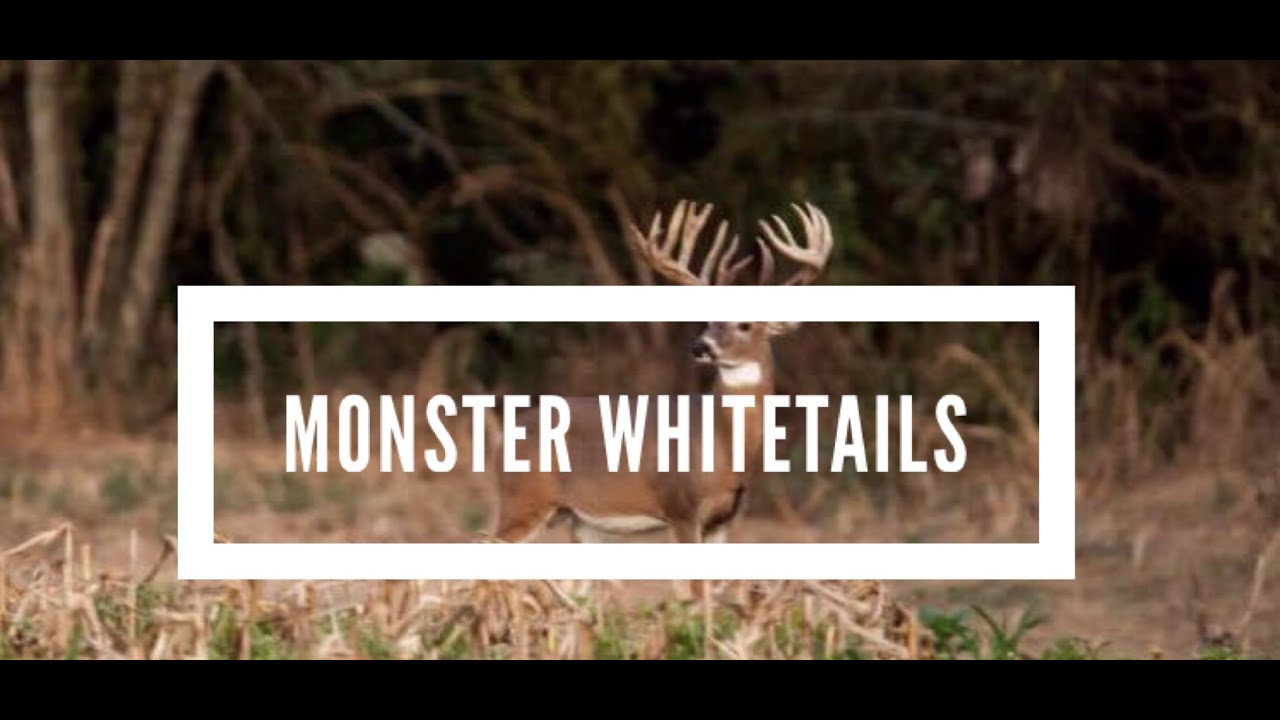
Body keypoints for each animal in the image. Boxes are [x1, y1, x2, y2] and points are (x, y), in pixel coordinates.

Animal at [491, 198, 834, 552]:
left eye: (745, 325)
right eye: (709, 320)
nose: (700, 346)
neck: (723, 446)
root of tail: (505, 434)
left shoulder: (724, 519)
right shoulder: (681, 507)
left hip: (581, 520)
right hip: (525, 499)